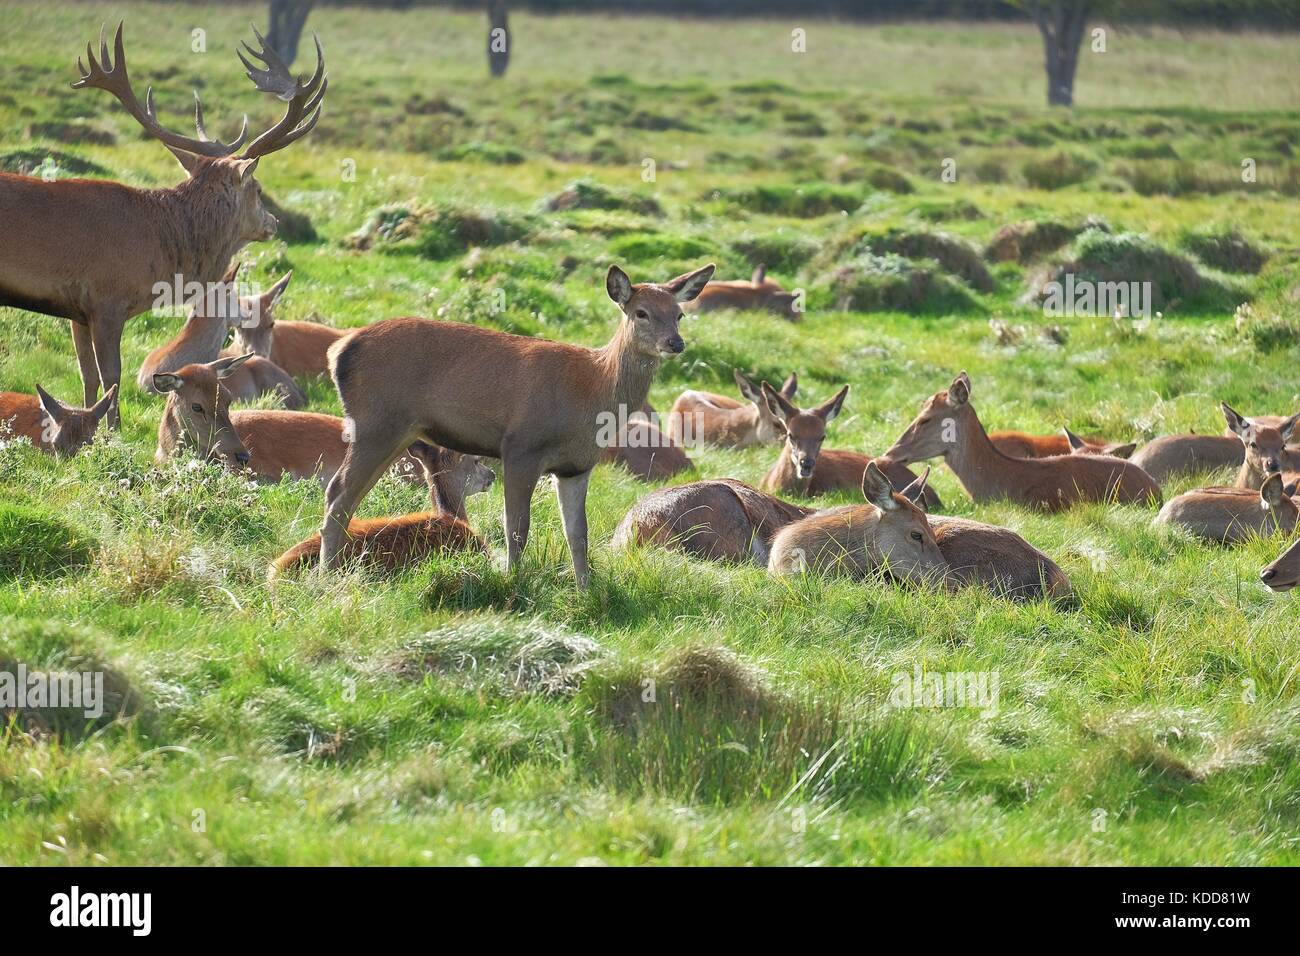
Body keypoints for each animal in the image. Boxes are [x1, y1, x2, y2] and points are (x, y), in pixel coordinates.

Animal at [319, 263, 715, 587]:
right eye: (641, 312)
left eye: (679, 314)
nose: (675, 343)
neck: (591, 392)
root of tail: (338, 350)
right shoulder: (521, 447)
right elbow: (517, 528)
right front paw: (512, 580)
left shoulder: (576, 466)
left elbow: (578, 534)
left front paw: (585, 591)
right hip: (376, 422)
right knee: (339, 493)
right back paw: (328, 577)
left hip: (394, 431)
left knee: (344, 495)